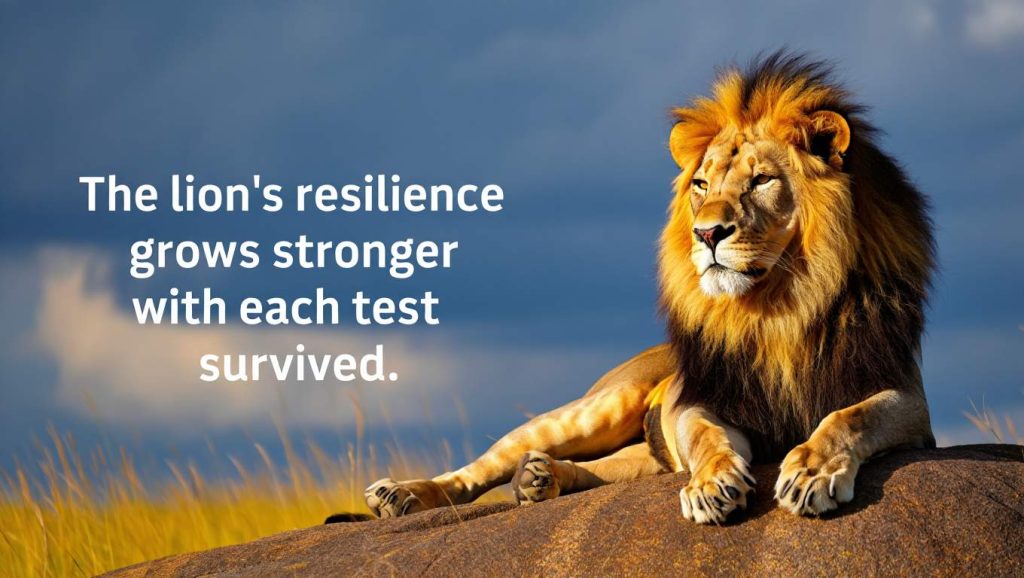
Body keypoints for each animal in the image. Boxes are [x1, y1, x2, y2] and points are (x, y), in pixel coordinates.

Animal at [357, 51, 935, 524]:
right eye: (701, 184)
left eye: (761, 180)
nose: (707, 233)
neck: (778, 308)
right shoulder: (698, 401)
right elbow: (707, 437)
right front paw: (711, 486)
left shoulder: (906, 398)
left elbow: (849, 417)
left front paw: (811, 472)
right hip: (596, 407)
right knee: (482, 467)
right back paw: (404, 495)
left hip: (642, 458)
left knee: (598, 469)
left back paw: (539, 480)